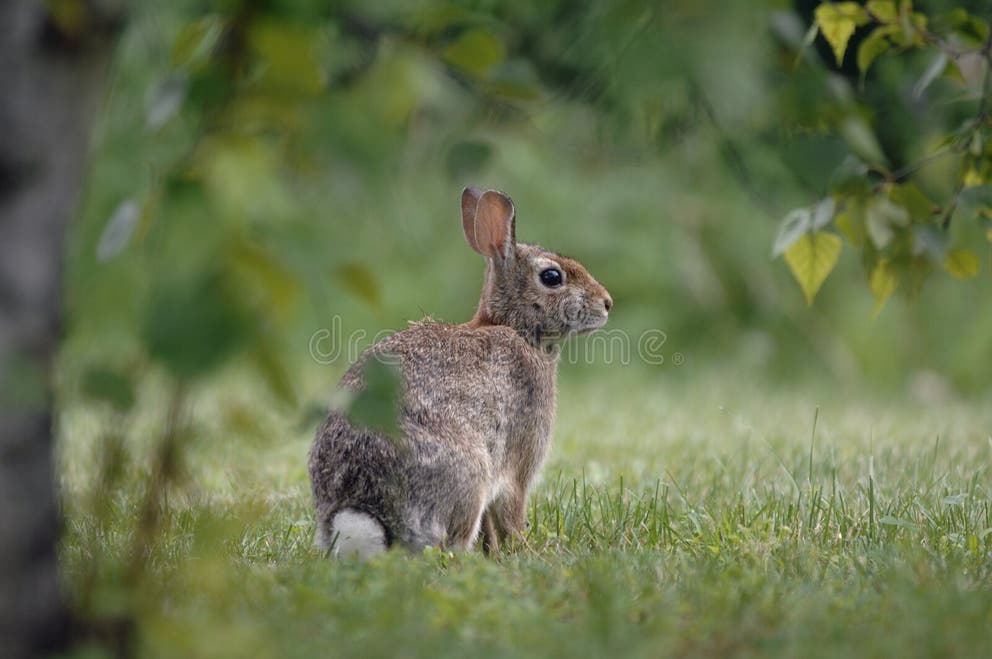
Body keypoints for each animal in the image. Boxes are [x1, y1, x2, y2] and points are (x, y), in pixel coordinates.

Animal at [308, 186, 612, 557]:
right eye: (552, 277)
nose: (607, 303)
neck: (517, 328)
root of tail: (363, 510)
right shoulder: (517, 466)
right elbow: (510, 516)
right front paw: (523, 550)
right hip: (471, 476)